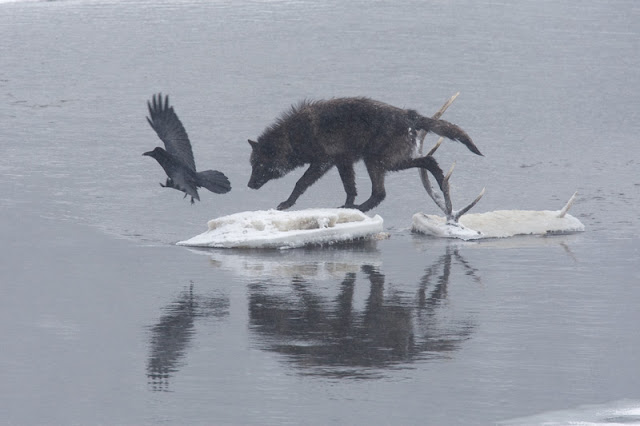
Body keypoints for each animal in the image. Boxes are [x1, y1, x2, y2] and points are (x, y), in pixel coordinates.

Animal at [248, 97, 482, 212]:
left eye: (259, 165)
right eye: (252, 165)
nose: (249, 185)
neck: (293, 136)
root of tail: (410, 115)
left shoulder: (323, 162)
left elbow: (300, 183)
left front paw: (287, 204)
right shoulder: (343, 161)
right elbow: (350, 188)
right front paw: (347, 207)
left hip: (379, 161)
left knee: (383, 191)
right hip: (384, 162)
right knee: (426, 162)